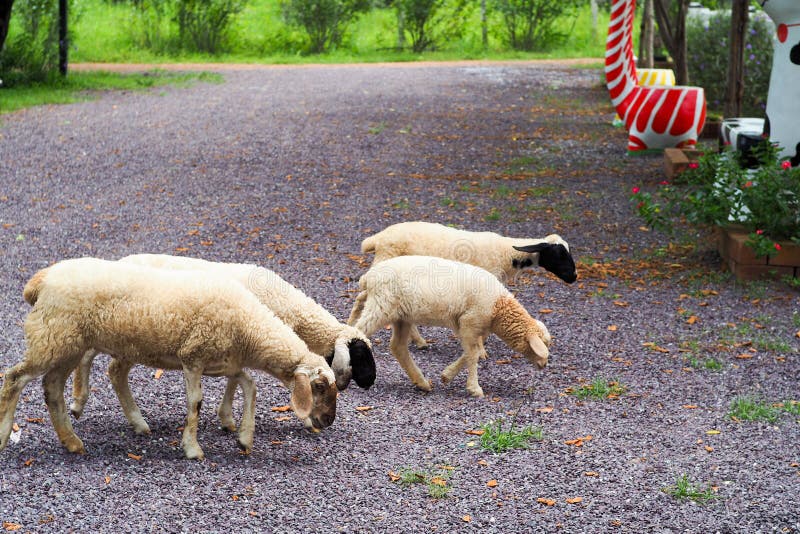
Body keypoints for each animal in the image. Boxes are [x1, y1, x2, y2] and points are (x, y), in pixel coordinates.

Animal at [0, 258, 338, 460]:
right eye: (319, 387)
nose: (328, 422)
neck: (249, 327)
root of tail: (41, 280)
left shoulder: (223, 363)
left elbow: (250, 385)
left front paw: (243, 437)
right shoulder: (193, 357)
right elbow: (196, 403)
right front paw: (192, 448)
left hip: (65, 345)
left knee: (52, 388)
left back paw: (72, 441)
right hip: (51, 338)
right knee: (14, 378)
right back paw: (5, 436)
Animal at [67, 255, 375, 430]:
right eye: (360, 355)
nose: (370, 382)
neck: (289, 308)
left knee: (88, 356)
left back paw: (79, 402)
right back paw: (80, 403)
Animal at [348, 255, 551, 398]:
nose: (544, 365)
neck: (498, 307)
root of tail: (369, 277)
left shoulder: (468, 326)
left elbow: (471, 352)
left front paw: (447, 375)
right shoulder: (470, 321)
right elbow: (472, 354)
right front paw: (474, 388)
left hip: (401, 315)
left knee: (397, 347)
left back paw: (421, 382)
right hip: (382, 306)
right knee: (358, 332)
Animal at [353, 221, 576, 348]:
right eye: (558, 254)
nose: (573, 277)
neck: (506, 254)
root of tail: (378, 238)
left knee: (363, 295)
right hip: (387, 266)